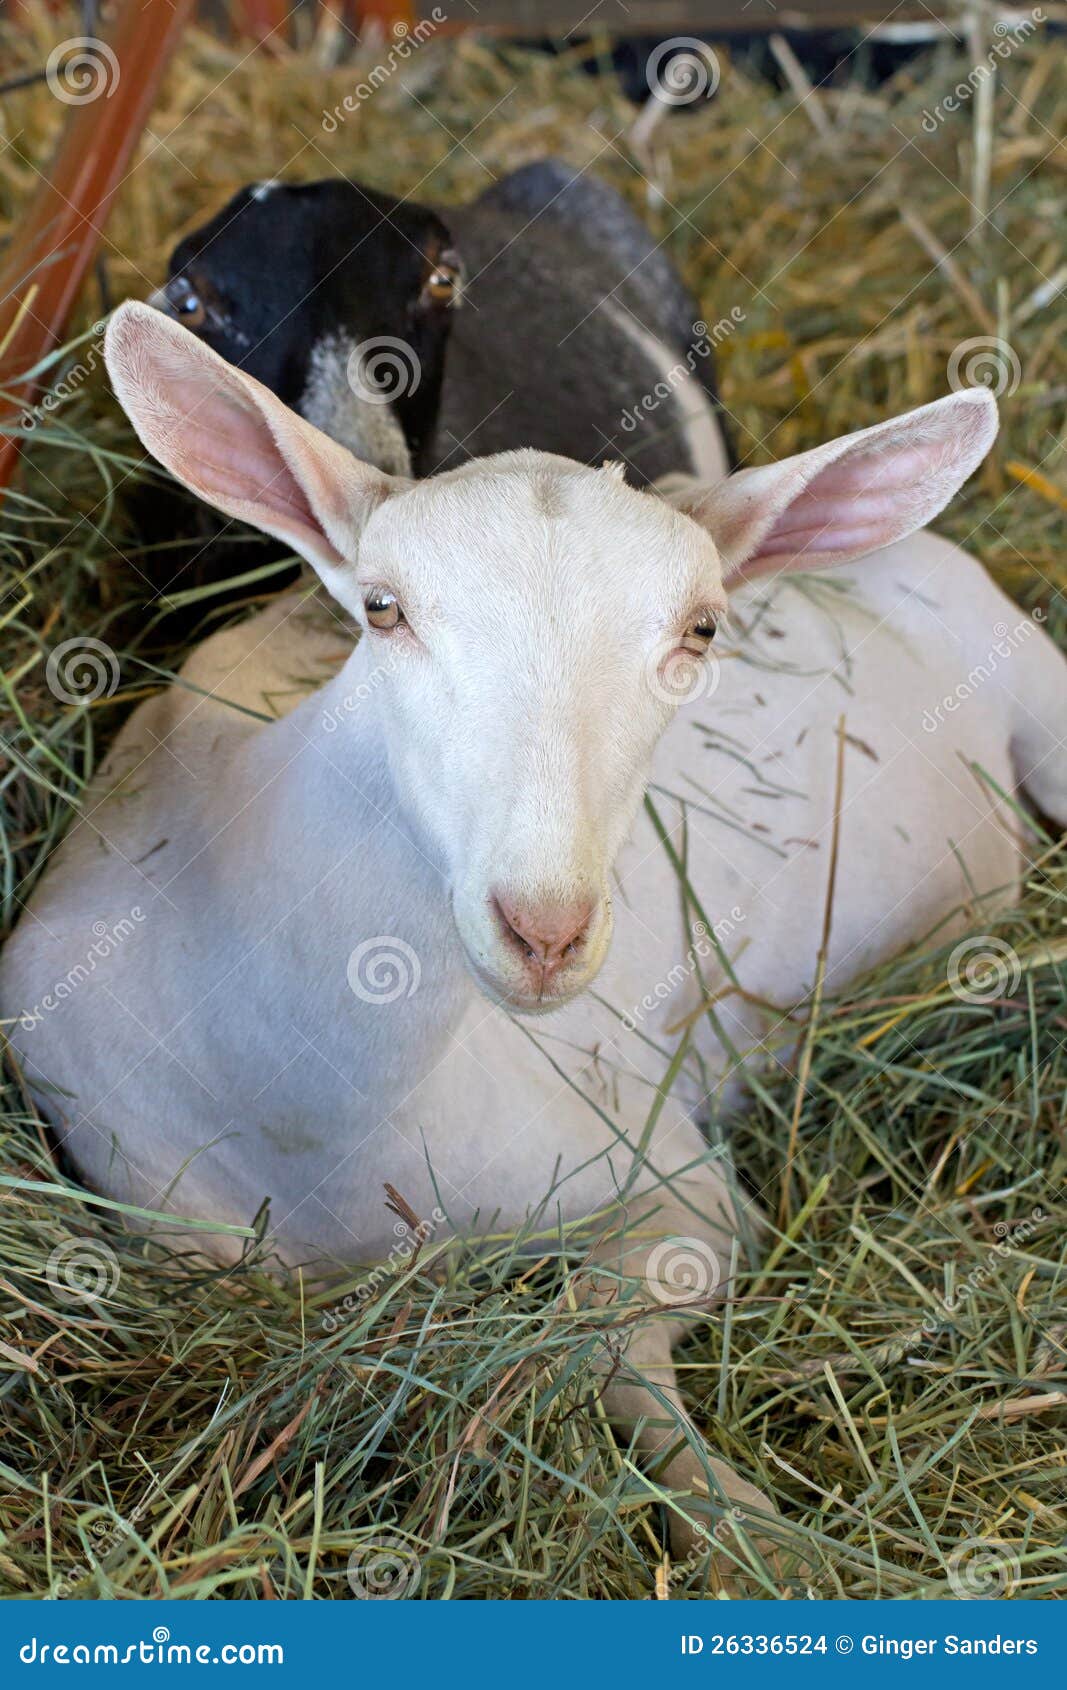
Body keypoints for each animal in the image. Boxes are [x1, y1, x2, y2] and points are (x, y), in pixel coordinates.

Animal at [4, 303, 1064, 1569]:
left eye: (700, 627)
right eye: (382, 607)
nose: (545, 928)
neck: (324, 1122)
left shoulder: (668, 1178)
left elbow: (604, 1341)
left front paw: (755, 1535)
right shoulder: (146, 1187)